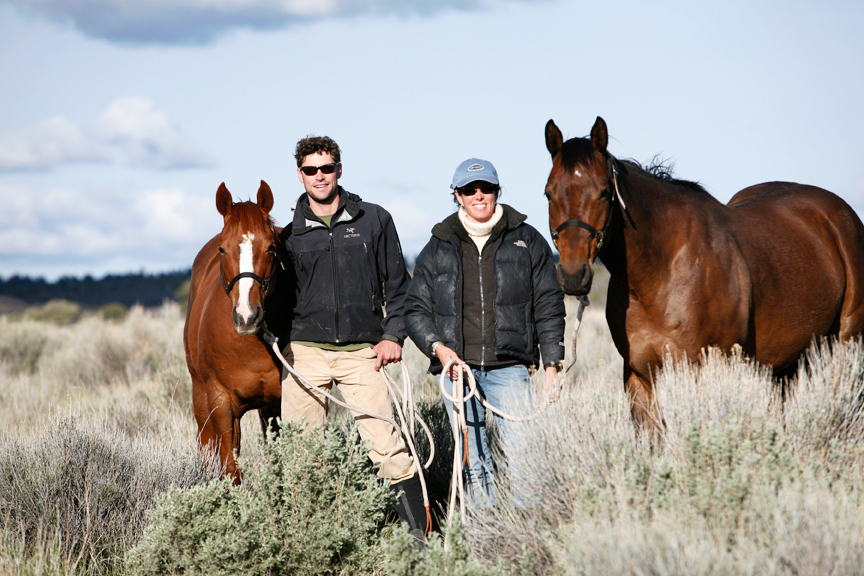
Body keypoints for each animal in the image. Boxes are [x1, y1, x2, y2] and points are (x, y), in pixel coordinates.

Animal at [183, 180, 289, 481]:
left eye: (271, 248)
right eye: (222, 249)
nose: (246, 316)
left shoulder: (280, 403)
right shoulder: (221, 404)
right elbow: (230, 469)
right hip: (201, 399)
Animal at [544, 116, 864, 434]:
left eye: (604, 192)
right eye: (548, 193)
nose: (573, 275)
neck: (661, 272)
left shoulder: (702, 370)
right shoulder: (639, 376)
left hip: (847, 342)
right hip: (787, 362)